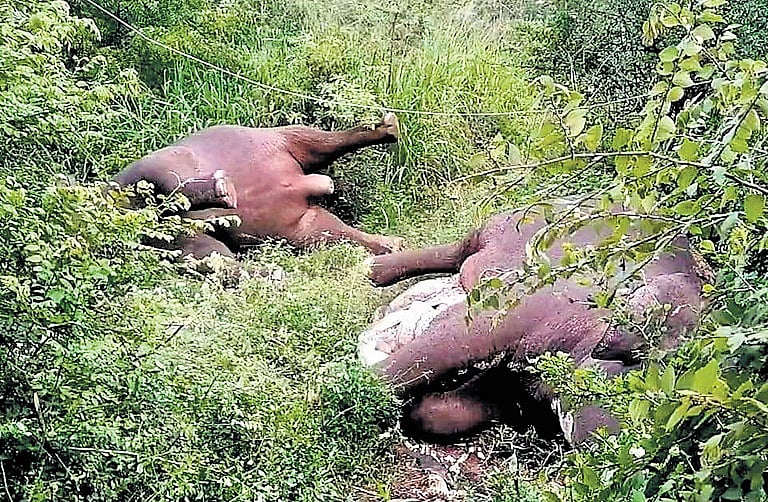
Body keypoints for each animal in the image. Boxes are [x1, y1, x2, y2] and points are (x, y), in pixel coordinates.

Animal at [360, 203, 712, 445]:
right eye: (637, 374)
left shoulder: (511, 390)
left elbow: (439, 415)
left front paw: (414, 409)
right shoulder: (502, 315)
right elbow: (422, 359)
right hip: (500, 224)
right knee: (455, 250)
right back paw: (372, 270)